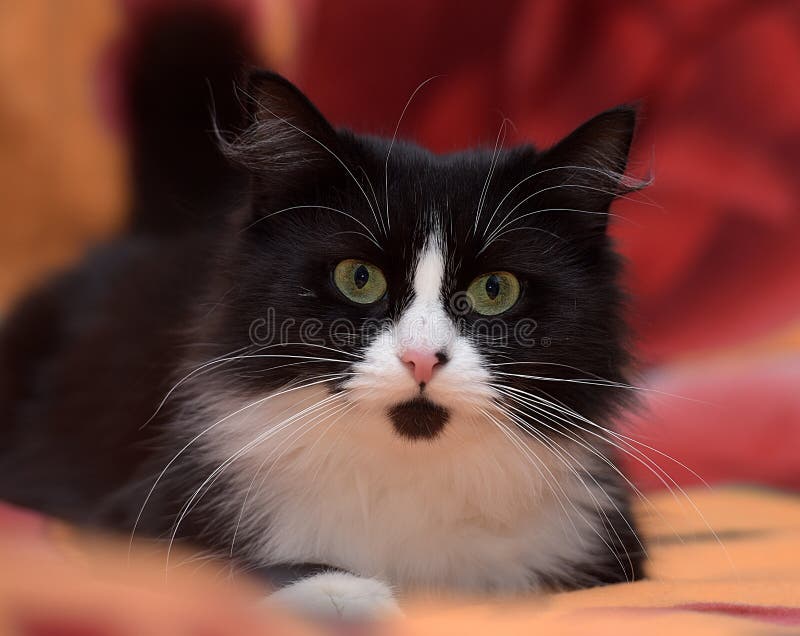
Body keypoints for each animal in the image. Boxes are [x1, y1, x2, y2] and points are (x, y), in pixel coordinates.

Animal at [0, 4, 644, 620]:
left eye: (494, 290)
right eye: (358, 278)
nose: (422, 359)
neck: (405, 472)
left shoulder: (605, 543)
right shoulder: (137, 515)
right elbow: (222, 565)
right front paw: (344, 591)